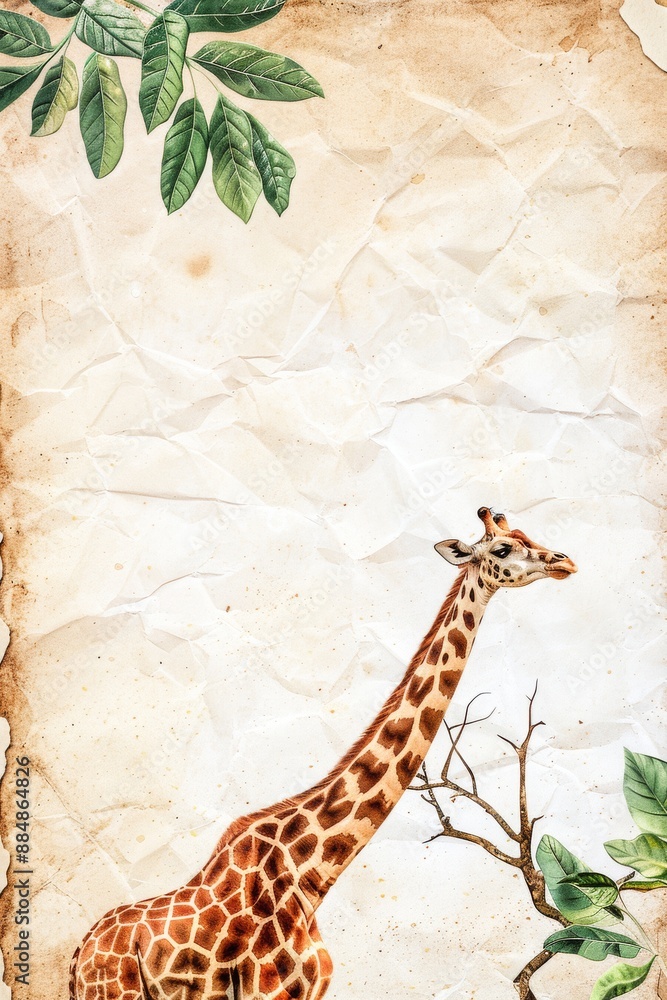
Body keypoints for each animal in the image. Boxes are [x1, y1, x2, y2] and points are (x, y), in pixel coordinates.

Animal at [70, 506, 577, 1000]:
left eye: (527, 534)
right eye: (503, 548)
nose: (564, 562)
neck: (312, 877)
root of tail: (77, 960)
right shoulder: (267, 989)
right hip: (116, 994)